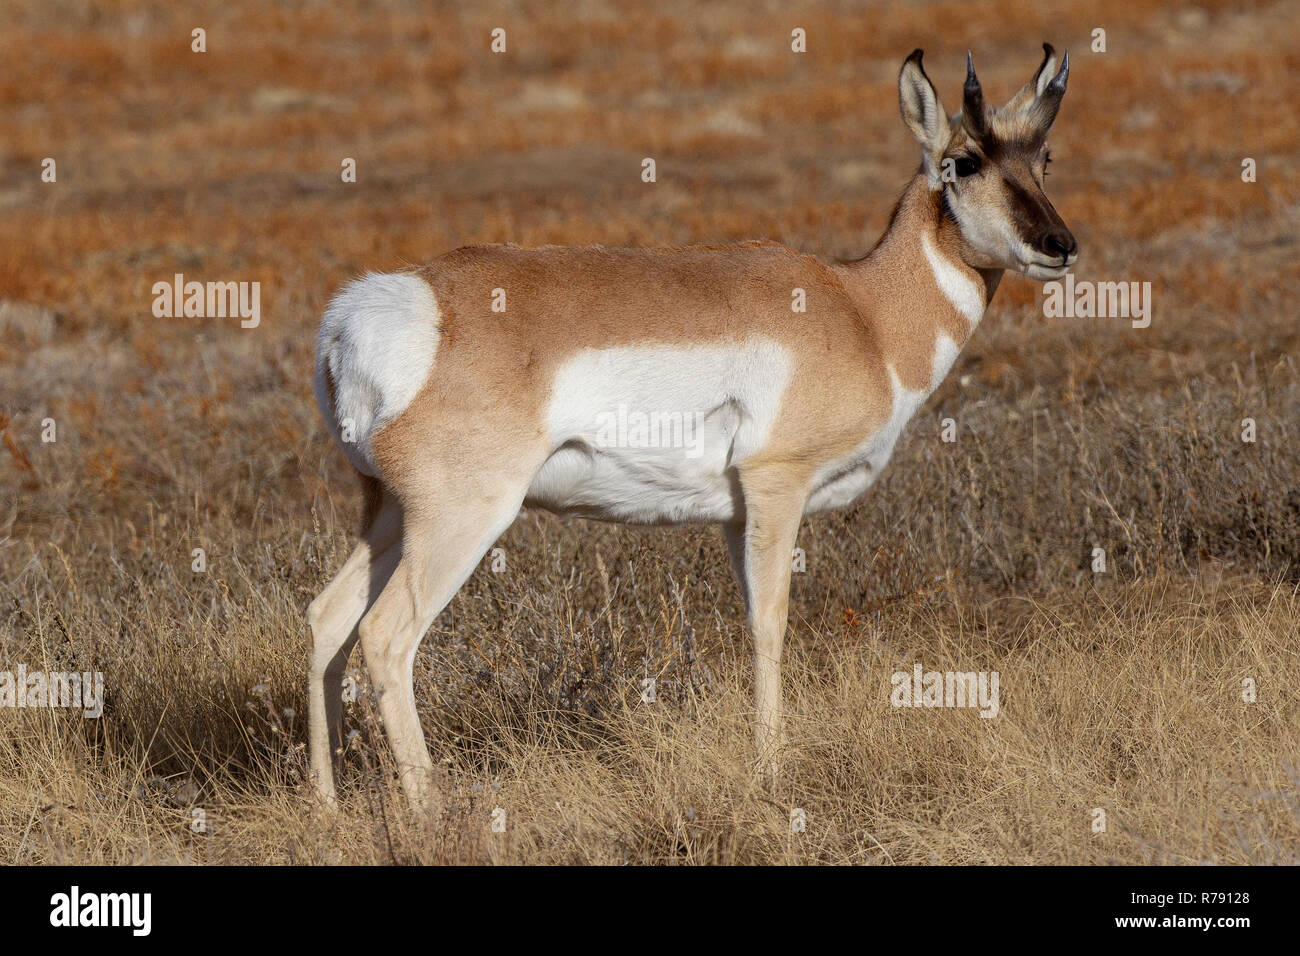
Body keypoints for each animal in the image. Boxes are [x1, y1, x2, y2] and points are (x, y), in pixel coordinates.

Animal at [307, 45, 1077, 811]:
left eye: (1043, 158)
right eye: (964, 162)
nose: (1061, 244)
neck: (865, 313)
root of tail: (381, 308)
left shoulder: (735, 515)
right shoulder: (776, 487)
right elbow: (770, 624)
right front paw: (772, 774)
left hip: (389, 514)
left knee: (326, 617)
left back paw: (328, 808)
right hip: (462, 518)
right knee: (385, 636)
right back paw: (430, 812)